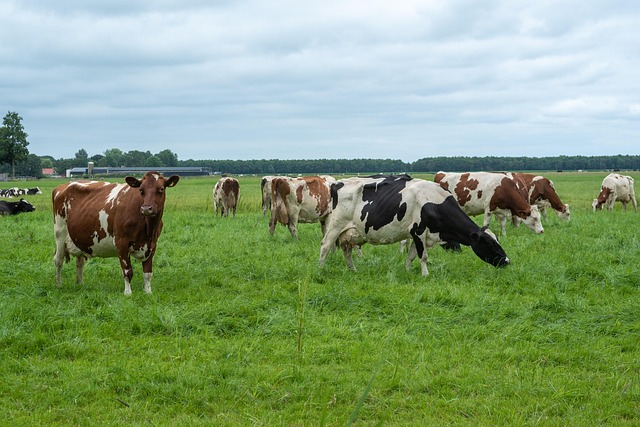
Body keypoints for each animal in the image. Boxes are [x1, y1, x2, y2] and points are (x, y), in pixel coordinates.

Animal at [318, 175, 509, 276]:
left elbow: (411, 256)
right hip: (335, 225)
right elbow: (422, 256)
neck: (434, 202)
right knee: (325, 246)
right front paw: (425, 275)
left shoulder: (418, 234)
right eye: (490, 243)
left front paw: (408, 271)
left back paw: (353, 270)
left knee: (346, 250)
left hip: (349, 233)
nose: (507, 261)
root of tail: (337, 183)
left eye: (497, 240)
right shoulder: (418, 231)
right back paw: (320, 268)